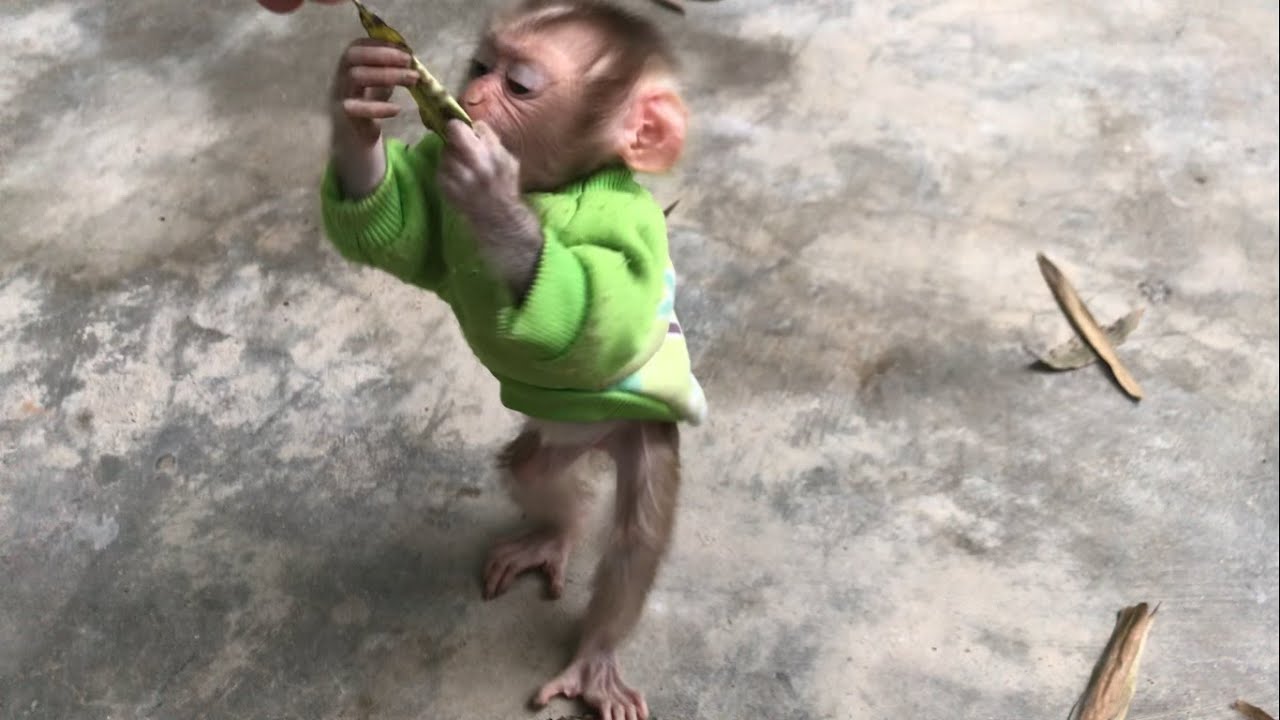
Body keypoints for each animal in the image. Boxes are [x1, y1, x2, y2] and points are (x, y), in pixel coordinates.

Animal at [319, 2, 706, 718]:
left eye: (520, 85)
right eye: (480, 66)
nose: (469, 98)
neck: (554, 187)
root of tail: (594, 440)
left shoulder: (627, 224)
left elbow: (601, 315)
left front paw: (494, 198)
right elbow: (403, 231)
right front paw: (359, 92)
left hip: (642, 436)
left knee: (636, 539)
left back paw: (596, 658)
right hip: (556, 445)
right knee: (531, 474)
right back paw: (556, 533)